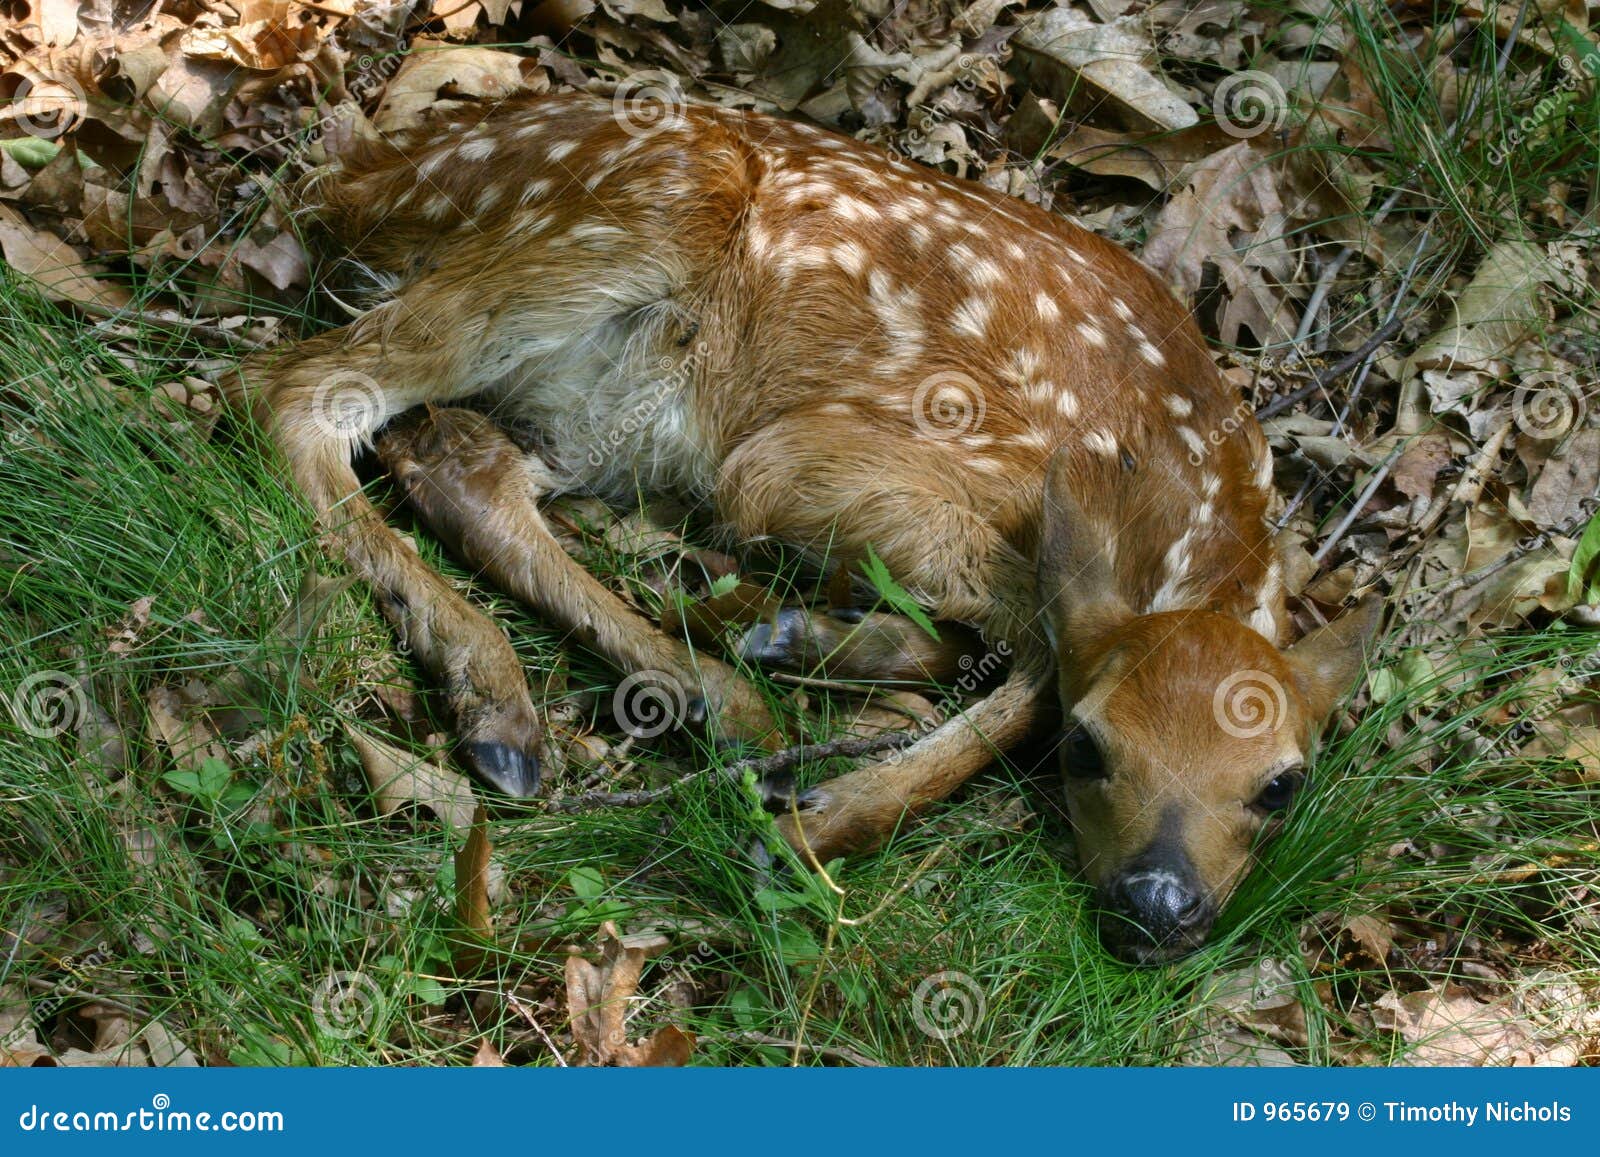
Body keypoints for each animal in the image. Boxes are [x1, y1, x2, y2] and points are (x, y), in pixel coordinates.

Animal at [225, 87, 1381, 963]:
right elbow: (1040, 653)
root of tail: (363, 176)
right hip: (627, 222)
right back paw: (530, 701)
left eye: (1283, 783)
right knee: (287, 391)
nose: (1160, 905)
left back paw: (697, 702)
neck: (1174, 497)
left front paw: (805, 652)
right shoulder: (812, 461)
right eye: (1091, 749)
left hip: (611, 405)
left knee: (463, 466)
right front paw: (807, 827)